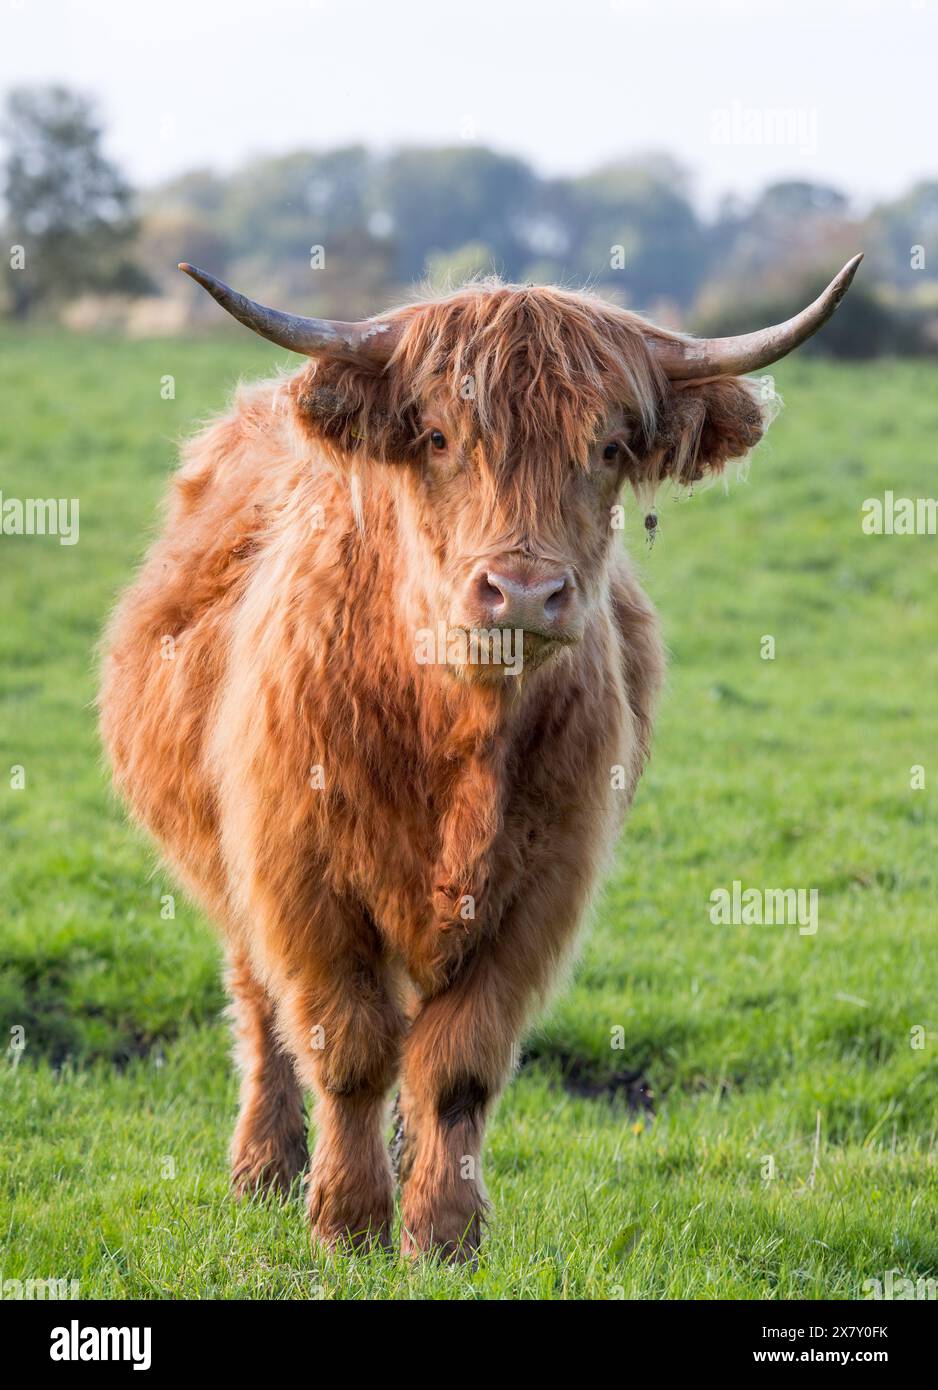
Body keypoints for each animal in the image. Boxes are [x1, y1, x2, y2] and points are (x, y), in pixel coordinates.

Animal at [99, 256, 861, 1260]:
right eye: (437, 436)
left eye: (609, 448)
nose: (524, 592)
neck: (454, 729)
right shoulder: (298, 872)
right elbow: (348, 1047)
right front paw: (347, 1222)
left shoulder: (543, 890)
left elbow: (458, 1063)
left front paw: (443, 1231)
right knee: (261, 1007)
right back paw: (264, 1166)